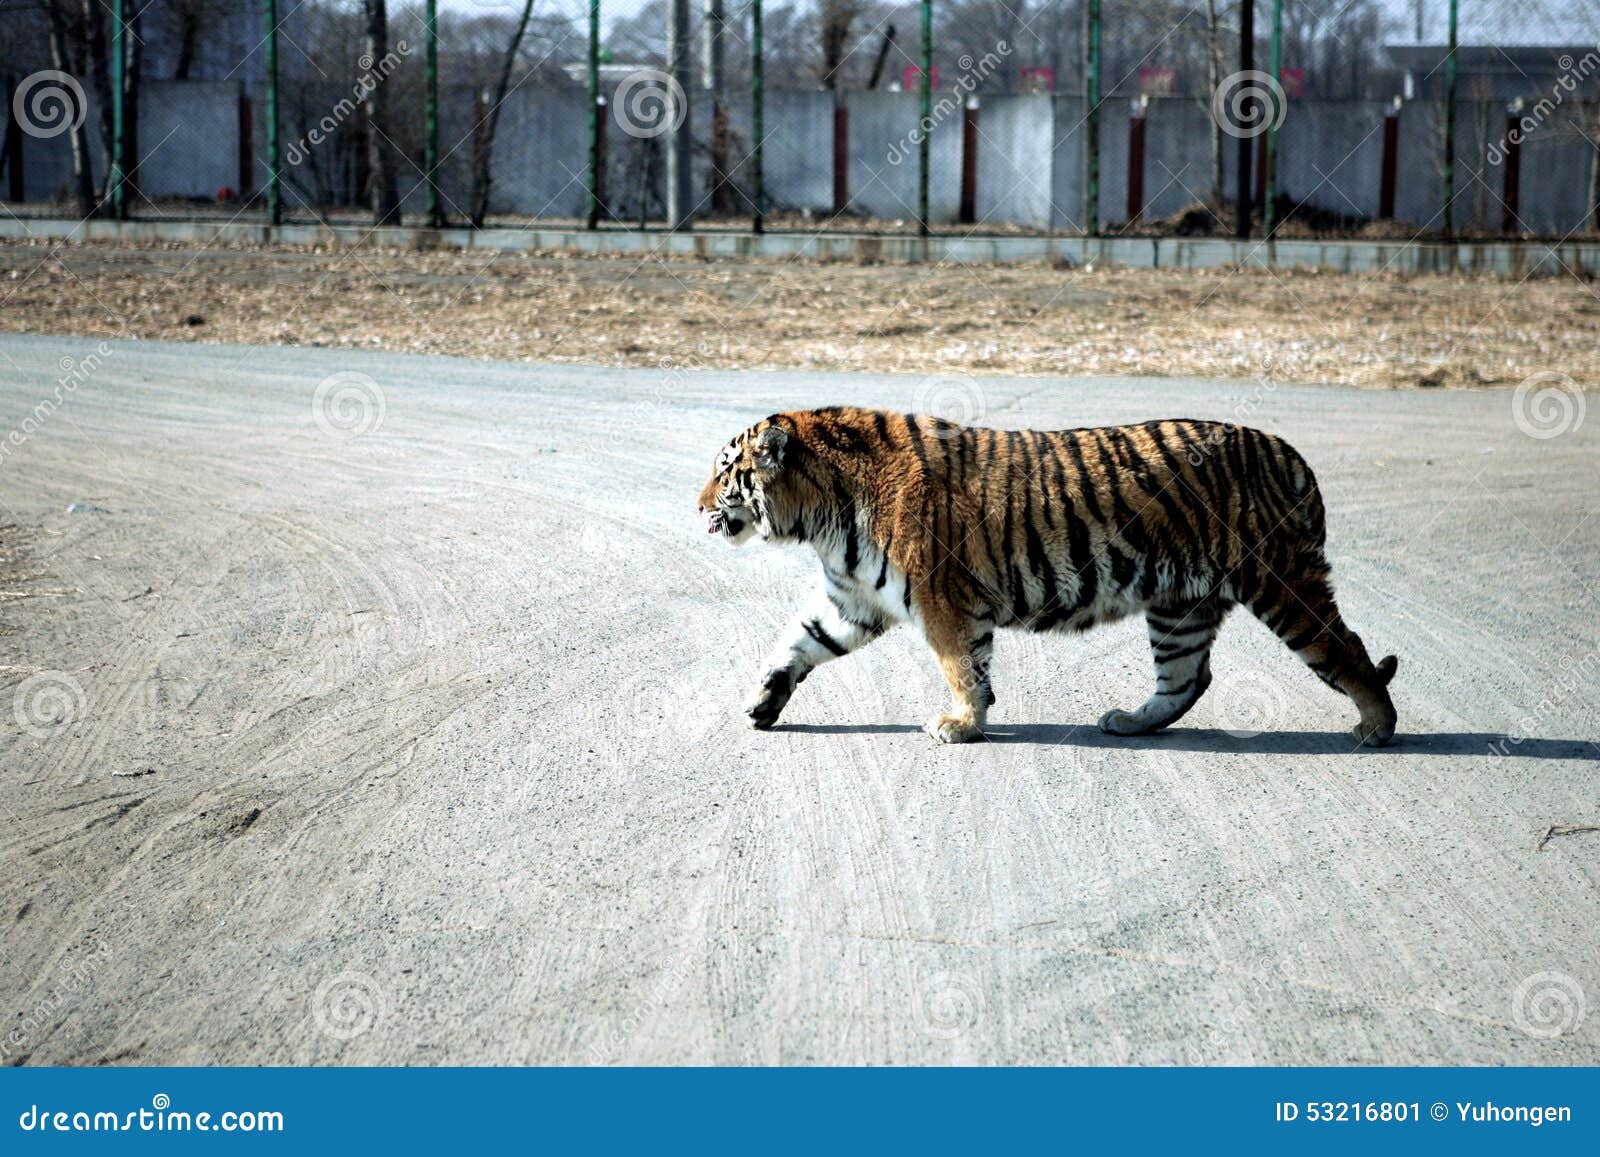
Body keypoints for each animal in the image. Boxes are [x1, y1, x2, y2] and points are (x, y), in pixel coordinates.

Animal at [696, 407, 1398, 747]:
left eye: (725, 470)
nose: (697, 506)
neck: (821, 515)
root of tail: (1291, 454)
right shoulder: (854, 602)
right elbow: (798, 643)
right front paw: (762, 703)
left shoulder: (943, 600)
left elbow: (960, 667)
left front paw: (961, 726)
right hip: (1180, 605)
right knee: (1187, 678)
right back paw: (1129, 722)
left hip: (1281, 584)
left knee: (1348, 650)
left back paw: (1376, 728)